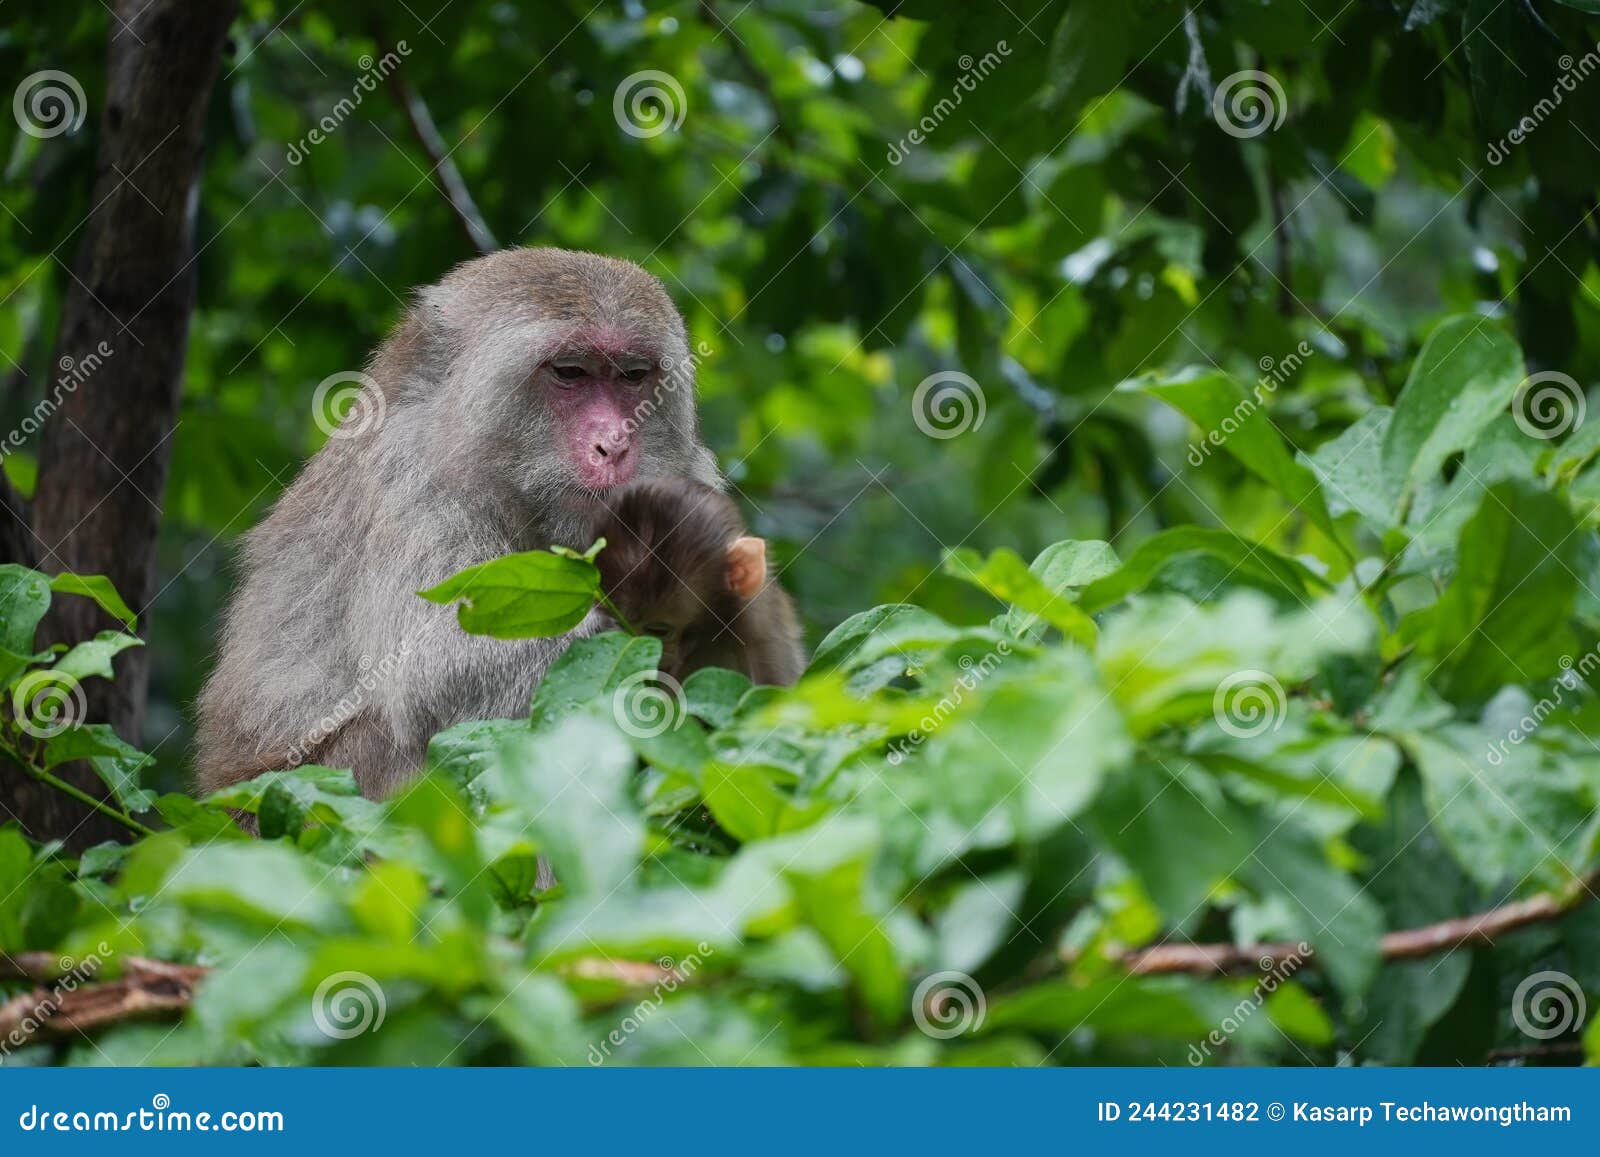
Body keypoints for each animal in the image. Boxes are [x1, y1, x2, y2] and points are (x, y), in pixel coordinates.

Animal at [195, 247, 723, 800]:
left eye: (633, 375)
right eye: (571, 371)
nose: (615, 444)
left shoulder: (691, 481)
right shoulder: (413, 479)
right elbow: (430, 675)